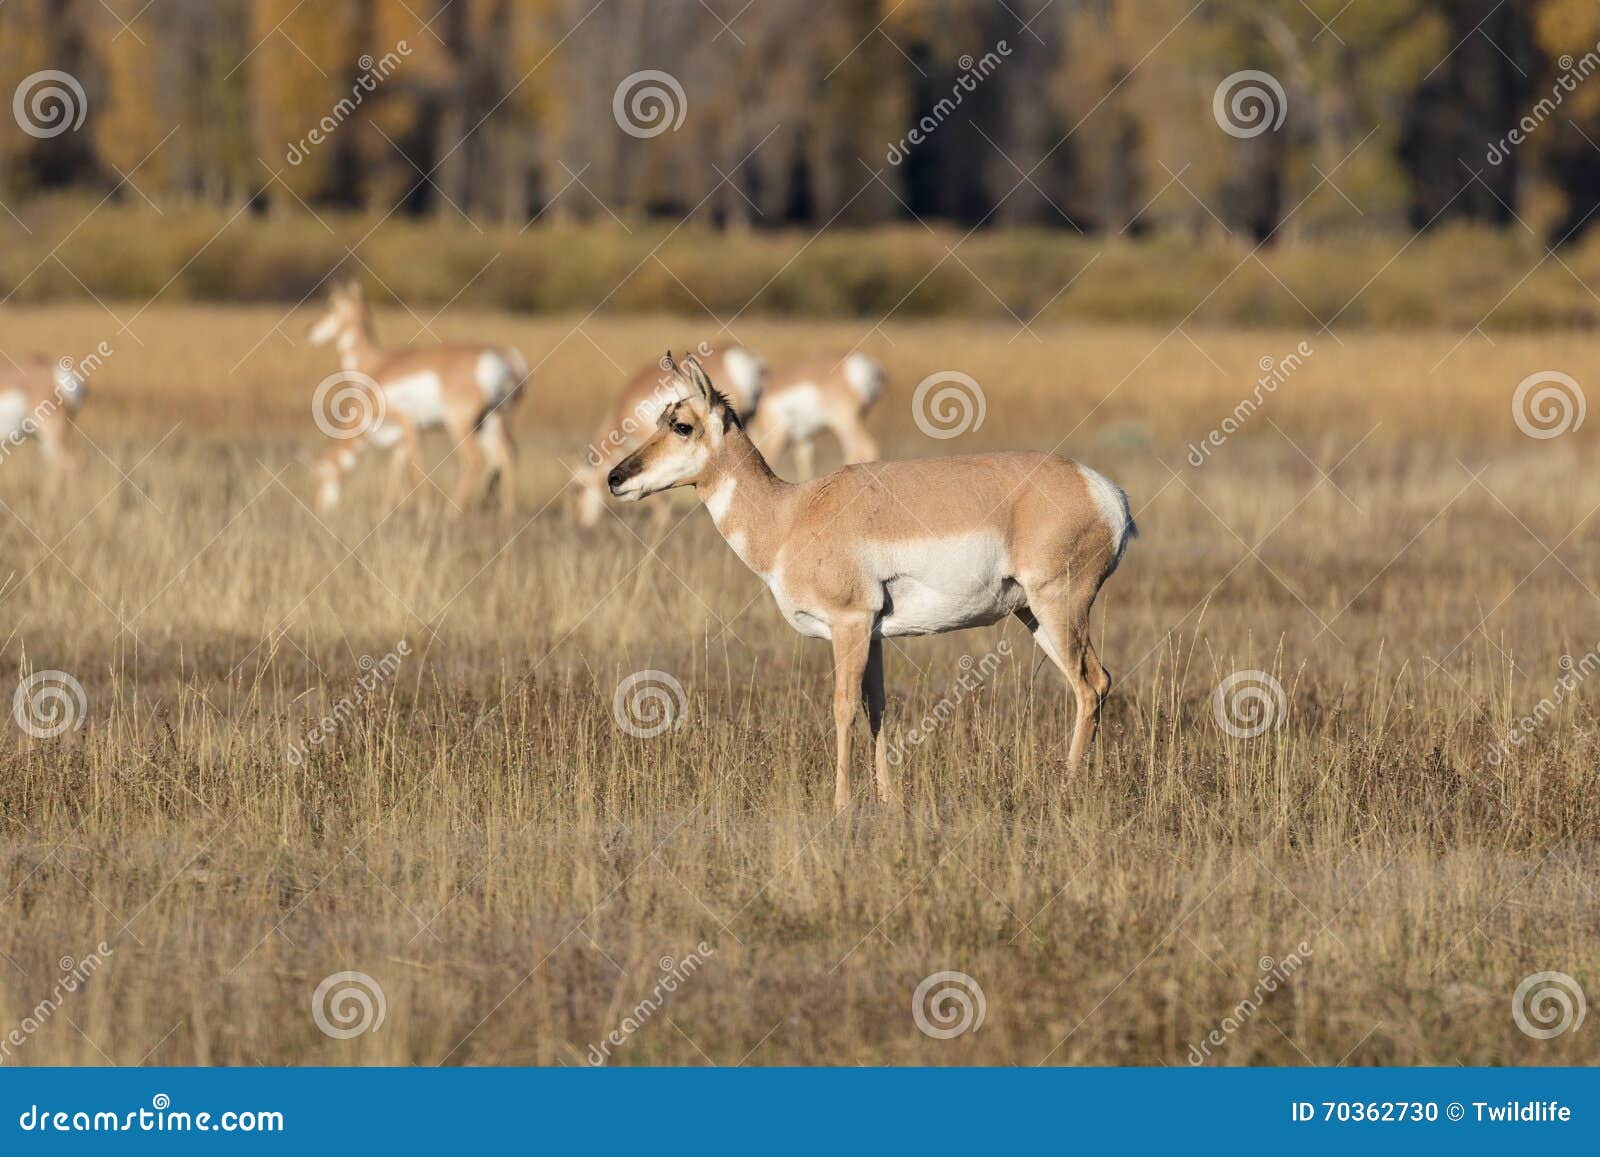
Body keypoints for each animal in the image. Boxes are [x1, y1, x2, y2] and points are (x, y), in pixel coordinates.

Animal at [307, 280, 527, 515]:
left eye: (331, 305)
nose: (310, 330)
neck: (378, 363)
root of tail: (504, 358)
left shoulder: (408, 426)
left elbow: (415, 467)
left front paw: (423, 512)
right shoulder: (402, 437)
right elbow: (396, 468)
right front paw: (388, 510)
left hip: (459, 423)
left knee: (474, 460)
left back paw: (451, 513)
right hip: (491, 422)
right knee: (506, 456)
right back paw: (506, 513)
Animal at [747, 351, 884, 480]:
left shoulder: (777, 437)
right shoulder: (803, 439)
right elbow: (804, 464)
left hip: (845, 422)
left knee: (868, 447)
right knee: (853, 450)